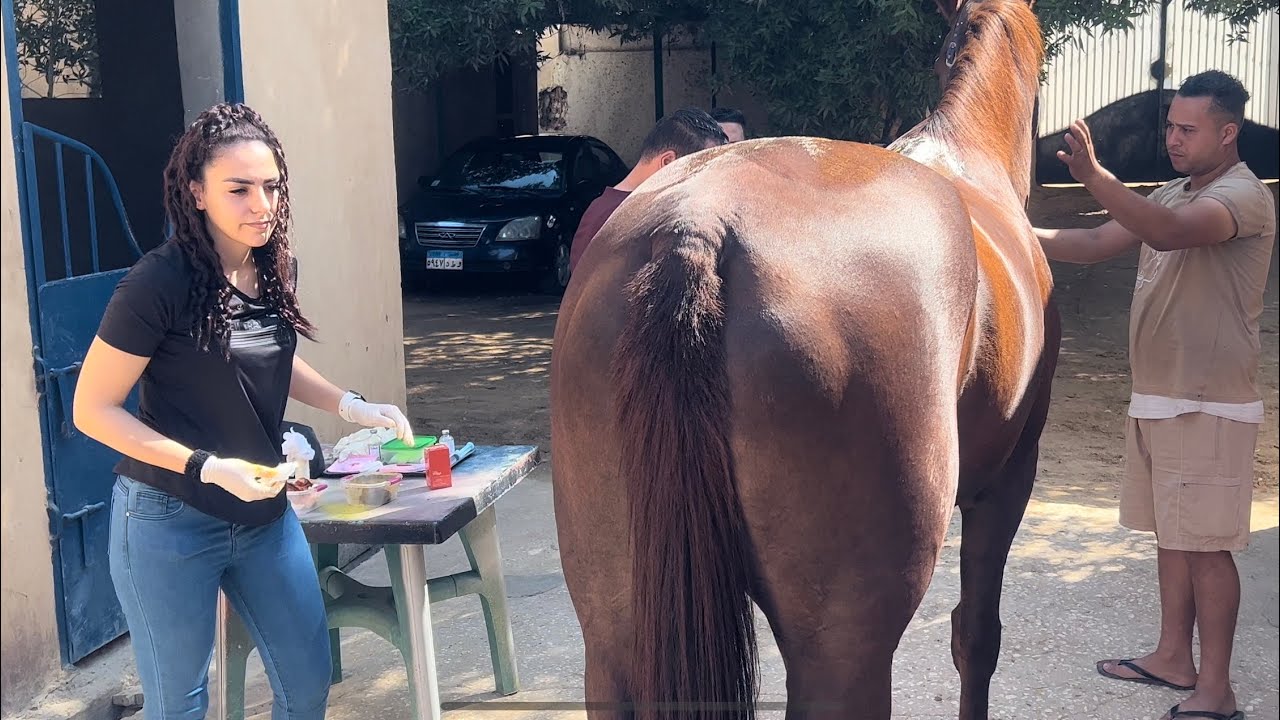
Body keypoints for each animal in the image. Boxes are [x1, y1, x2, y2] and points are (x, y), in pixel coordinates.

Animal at [549, 0, 1059, 716]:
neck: (966, 155)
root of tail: (697, 224)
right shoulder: (1006, 482)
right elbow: (976, 637)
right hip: (844, 650)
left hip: (614, 625)